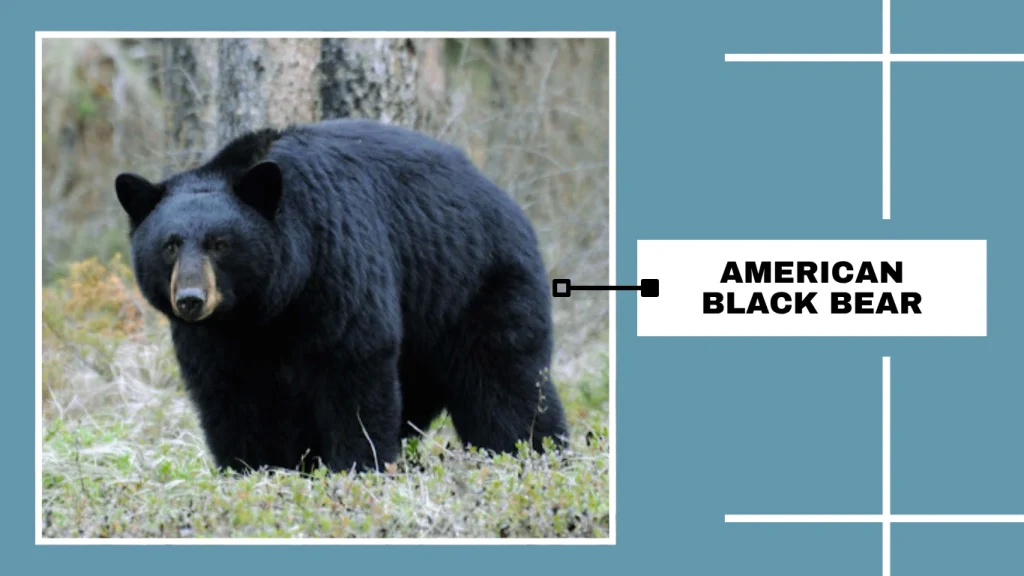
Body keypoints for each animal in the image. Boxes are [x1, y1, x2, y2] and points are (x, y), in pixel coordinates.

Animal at [114, 118, 570, 474]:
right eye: (170, 246)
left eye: (220, 244)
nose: (191, 299)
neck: (264, 307)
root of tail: (503, 199)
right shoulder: (216, 336)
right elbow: (230, 393)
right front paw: (252, 469)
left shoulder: (335, 265)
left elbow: (353, 365)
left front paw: (358, 466)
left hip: (473, 285)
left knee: (505, 384)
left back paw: (536, 454)